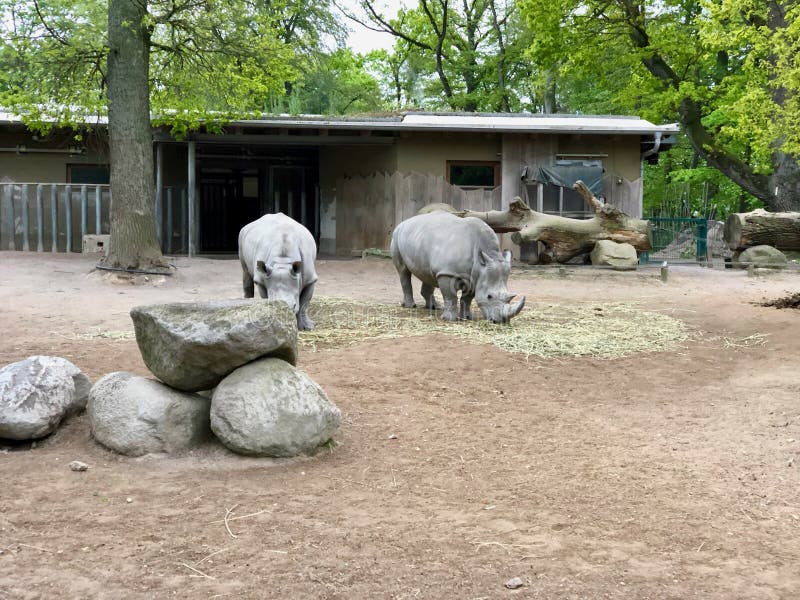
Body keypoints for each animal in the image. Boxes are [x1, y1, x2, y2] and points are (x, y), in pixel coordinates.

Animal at [390, 211, 525, 323]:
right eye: (489, 296)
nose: (500, 321)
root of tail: (405, 221)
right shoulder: (447, 273)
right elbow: (451, 296)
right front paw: (449, 319)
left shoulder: (475, 276)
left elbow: (467, 298)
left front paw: (466, 317)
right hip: (396, 235)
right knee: (403, 271)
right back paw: (410, 306)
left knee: (427, 273)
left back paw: (434, 307)